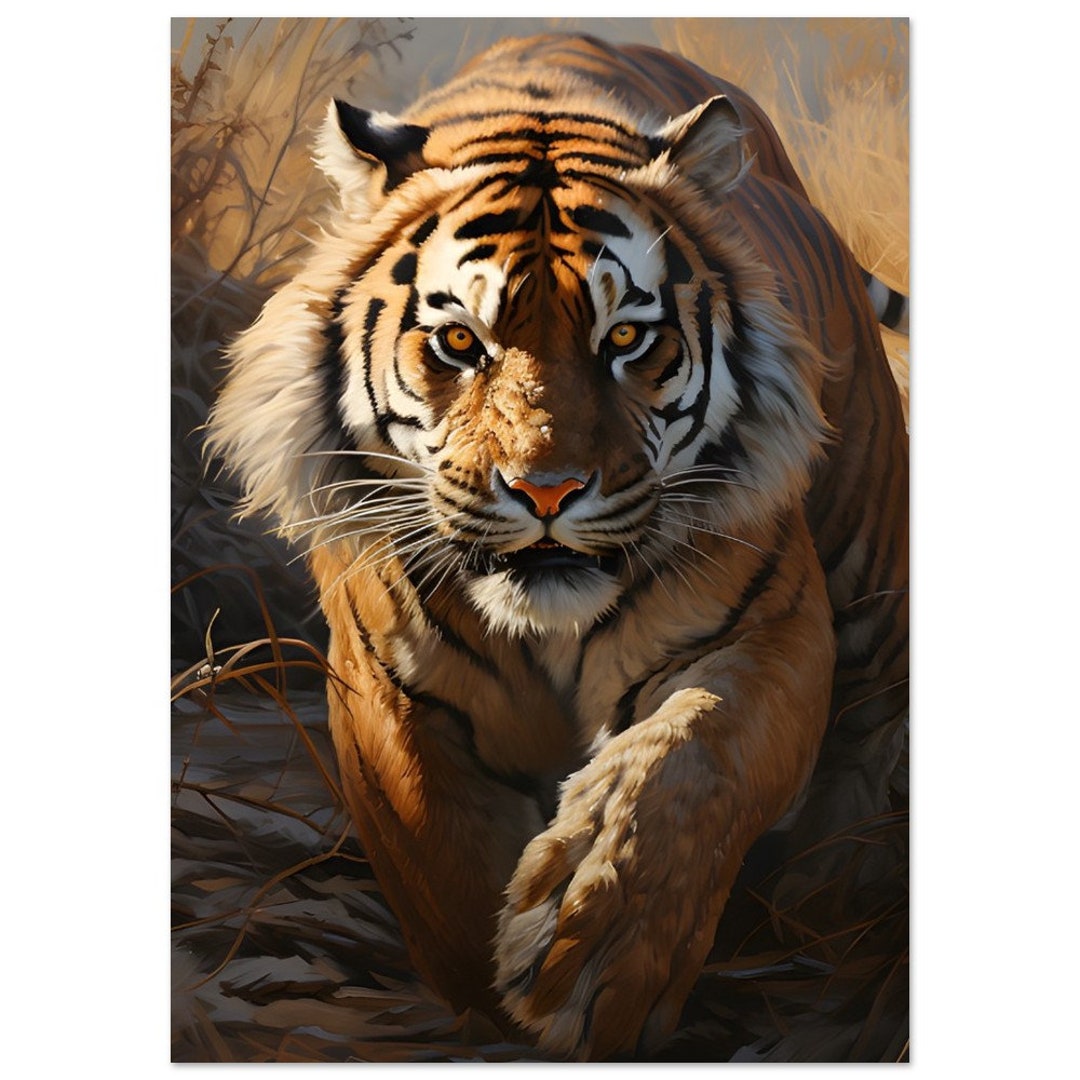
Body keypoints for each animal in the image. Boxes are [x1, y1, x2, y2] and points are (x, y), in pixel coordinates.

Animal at [206, 32, 909, 1060]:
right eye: (461, 342)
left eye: (626, 339)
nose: (546, 490)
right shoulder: (383, 683)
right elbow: (438, 850)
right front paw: (495, 998)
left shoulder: (769, 632)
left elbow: (689, 756)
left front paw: (595, 945)